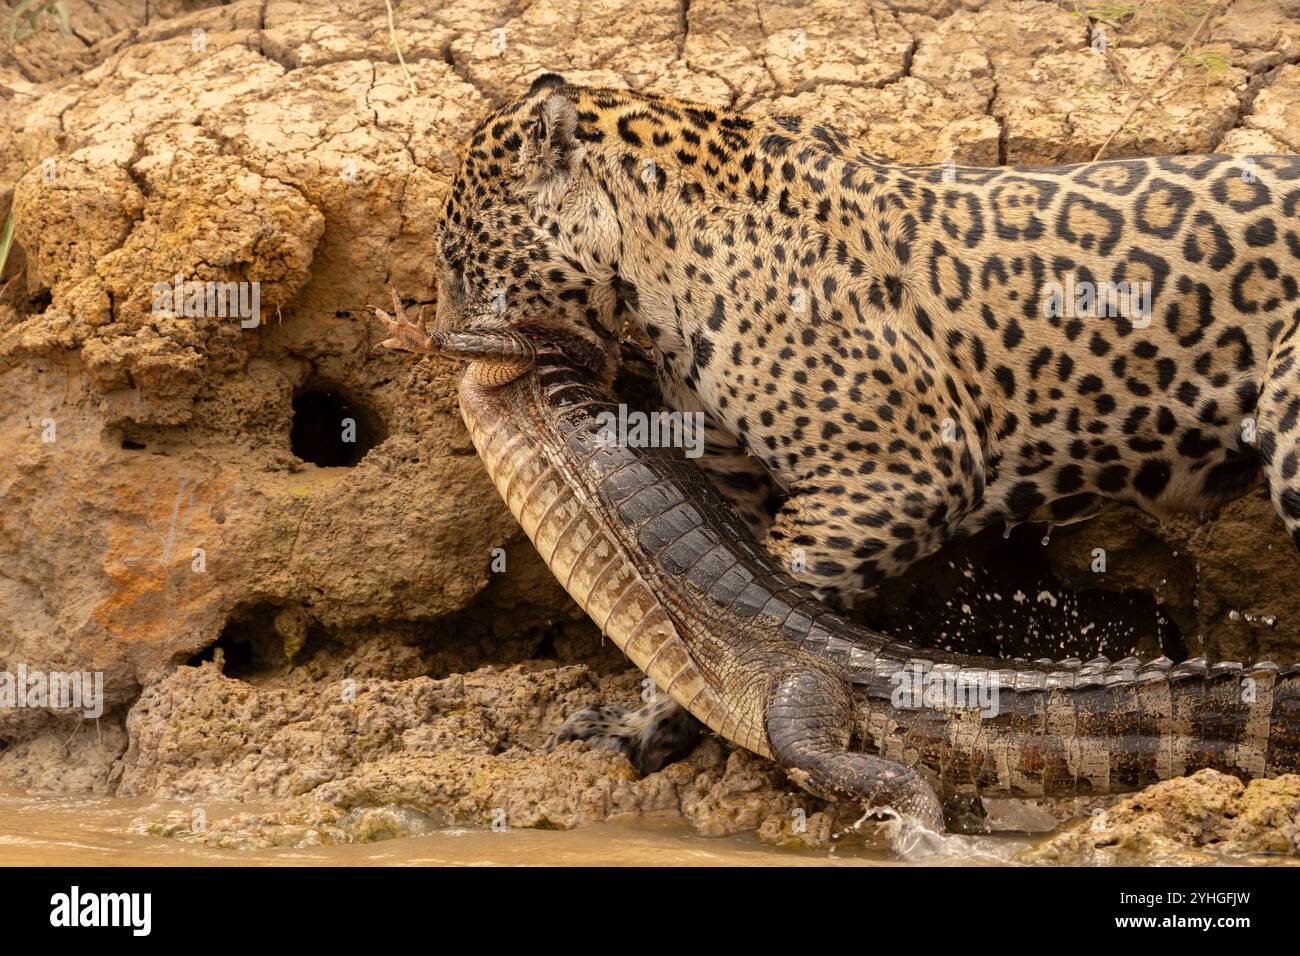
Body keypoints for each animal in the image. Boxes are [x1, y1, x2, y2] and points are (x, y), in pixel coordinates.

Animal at [432, 72, 1300, 772]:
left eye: (456, 259)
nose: (442, 336)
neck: (651, 247)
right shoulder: (735, 480)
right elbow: (689, 590)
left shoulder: (905, 476)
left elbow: (766, 609)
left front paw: (671, 719)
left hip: (1287, 422)